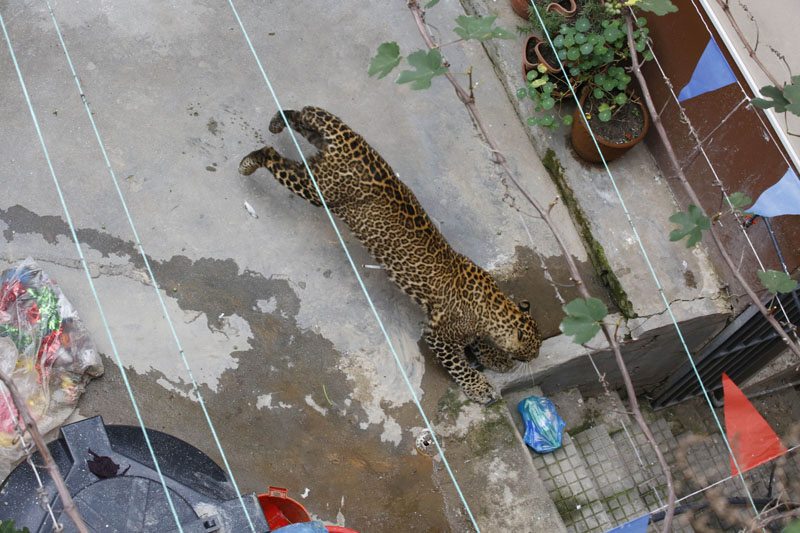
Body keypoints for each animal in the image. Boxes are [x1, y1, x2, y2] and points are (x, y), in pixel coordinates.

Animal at [238, 106, 541, 405]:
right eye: (533, 349)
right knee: (272, 153)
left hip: (318, 156)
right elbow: (458, 363)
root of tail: (351, 142)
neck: (495, 307)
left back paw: (277, 122)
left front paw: (494, 356)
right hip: (316, 188)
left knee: (299, 116)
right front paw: (479, 387)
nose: (534, 359)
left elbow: (476, 342)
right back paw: (248, 163)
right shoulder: (438, 336)